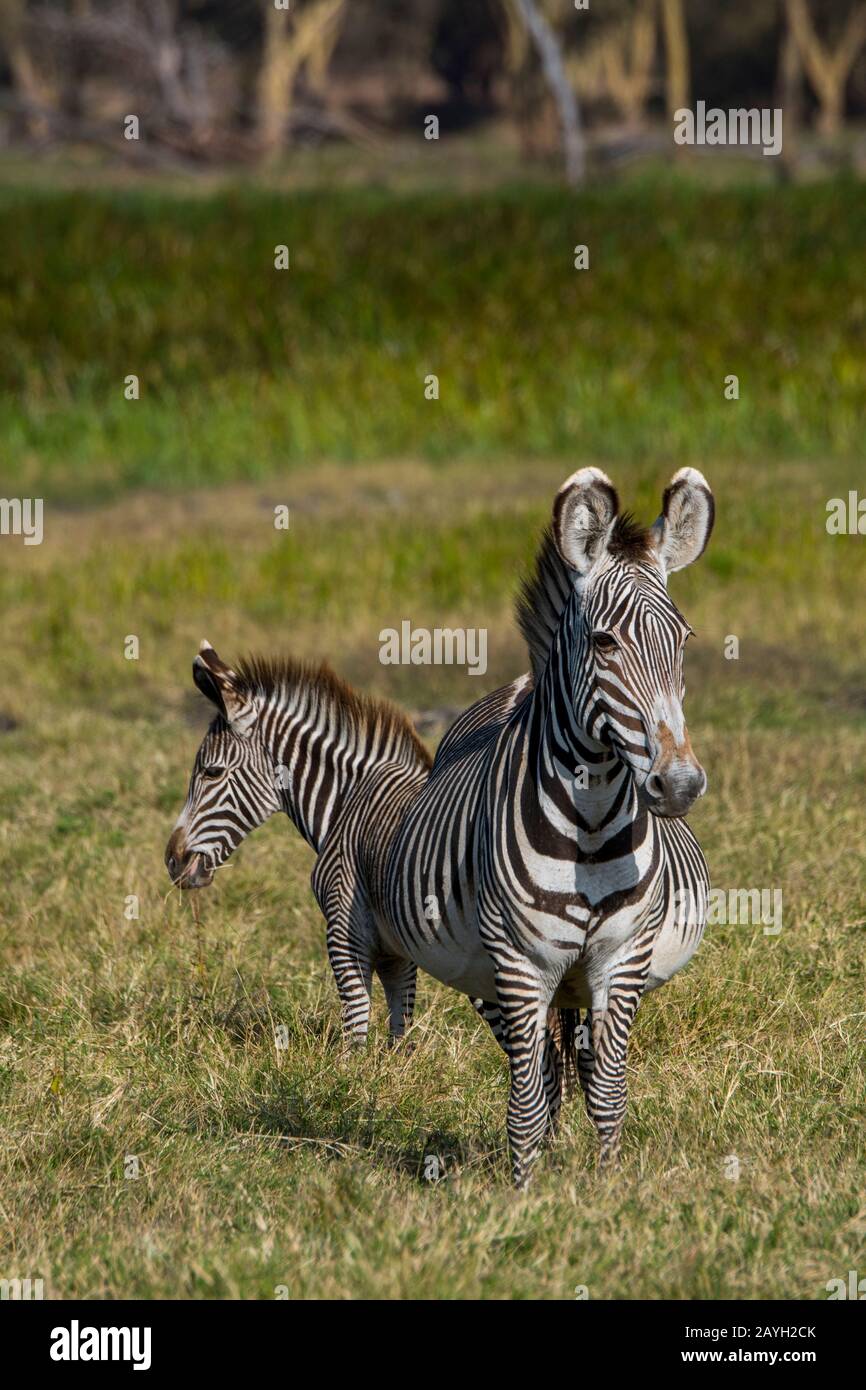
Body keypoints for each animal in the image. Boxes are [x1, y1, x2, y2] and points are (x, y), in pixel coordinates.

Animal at [164, 646, 432, 1044]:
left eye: (212, 772)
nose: (173, 860)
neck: (348, 801)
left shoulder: (346, 927)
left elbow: (357, 1024)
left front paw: (351, 1062)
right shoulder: (396, 948)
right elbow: (401, 1028)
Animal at [373, 467, 715, 1187]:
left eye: (685, 641)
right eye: (605, 642)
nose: (679, 784)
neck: (590, 818)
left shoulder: (622, 955)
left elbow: (607, 1090)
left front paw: (607, 1189)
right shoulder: (520, 962)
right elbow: (526, 1100)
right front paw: (525, 1192)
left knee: (571, 1063)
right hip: (490, 977)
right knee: (538, 1070)